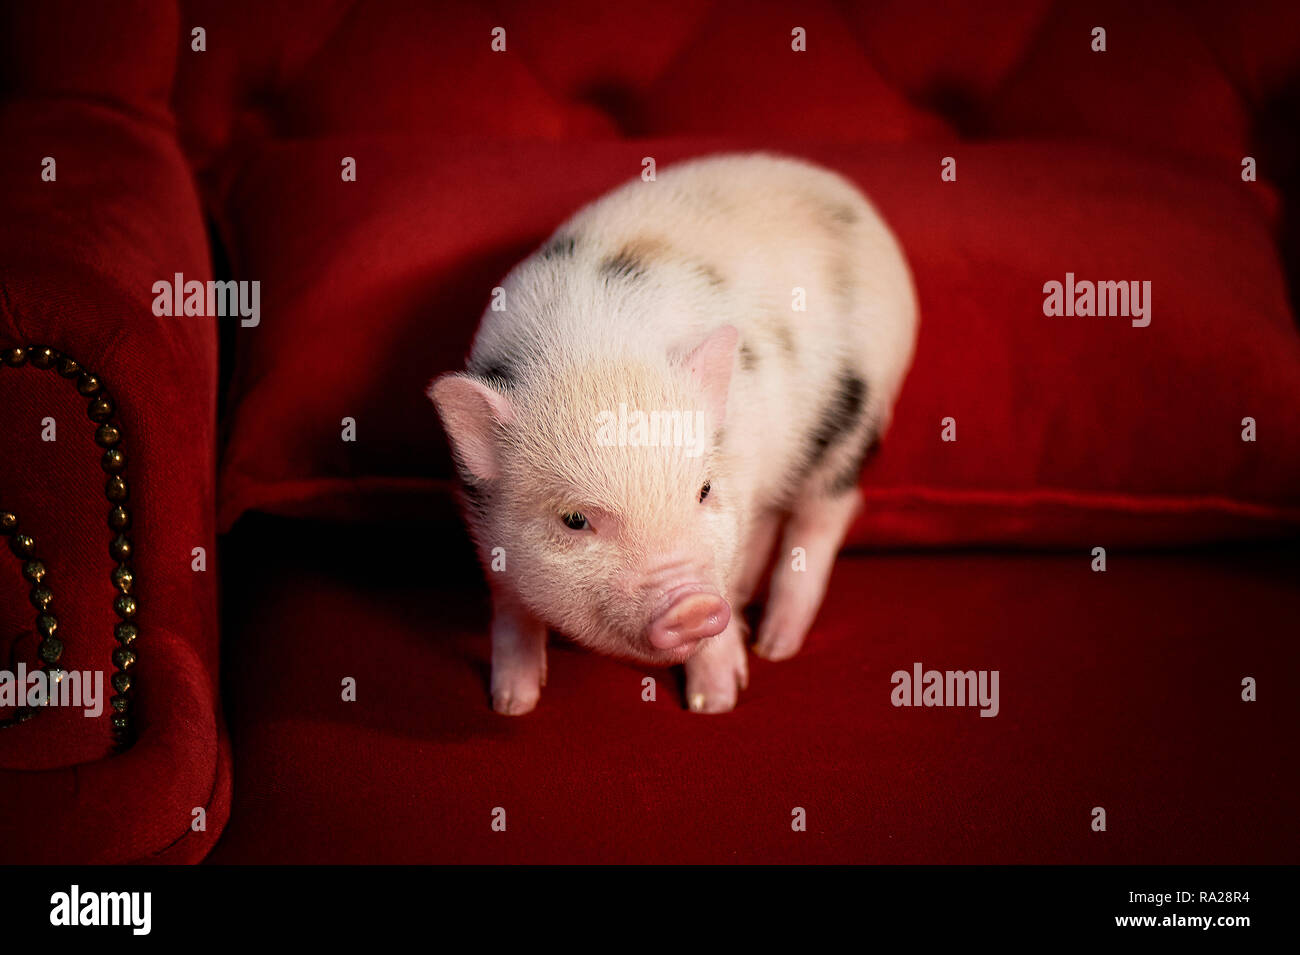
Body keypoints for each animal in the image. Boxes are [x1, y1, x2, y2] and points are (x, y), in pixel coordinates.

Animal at [429, 153, 918, 715]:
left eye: (703, 490)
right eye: (575, 520)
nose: (693, 604)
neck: (593, 352)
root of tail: (848, 196)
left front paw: (716, 702)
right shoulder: (484, 524)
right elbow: (510, 607)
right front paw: (513, 703)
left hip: (857, 418)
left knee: (823, 518)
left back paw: (776, 645)